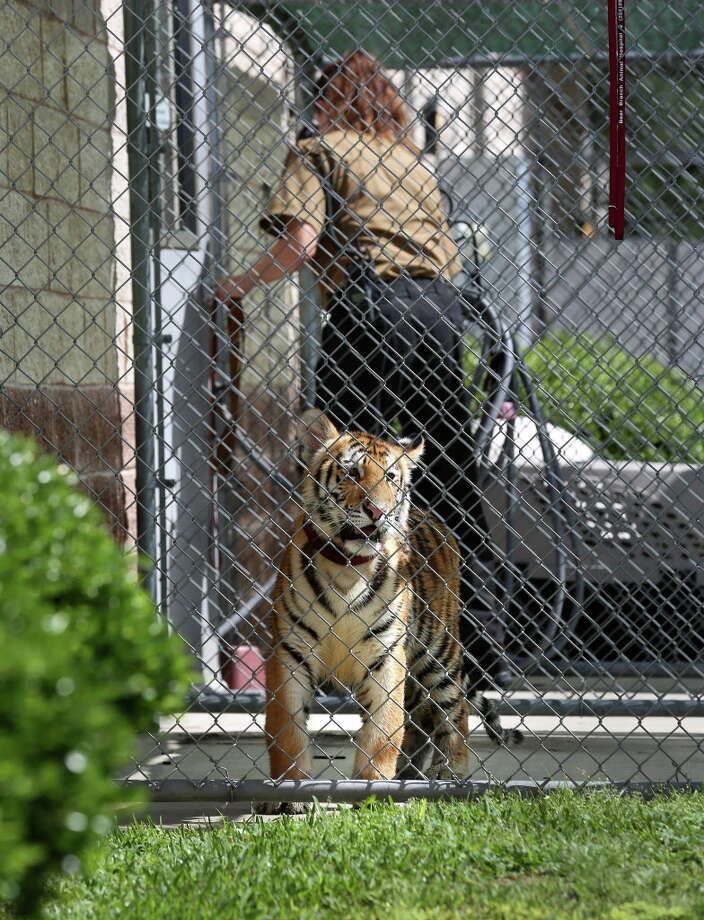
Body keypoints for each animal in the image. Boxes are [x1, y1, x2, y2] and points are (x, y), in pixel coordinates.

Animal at [265, 411, 513, 799]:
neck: (348, 571)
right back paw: (410, 771)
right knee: (420, 718)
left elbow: (383, 731)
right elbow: (288, 731)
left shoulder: (385, 656)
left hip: (439, 651)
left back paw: (448, 771)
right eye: (353, 473)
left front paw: (372, 789)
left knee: (453, 710)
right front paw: (289, 793)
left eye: (391, 478)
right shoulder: (291, 654)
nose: (377, 511)